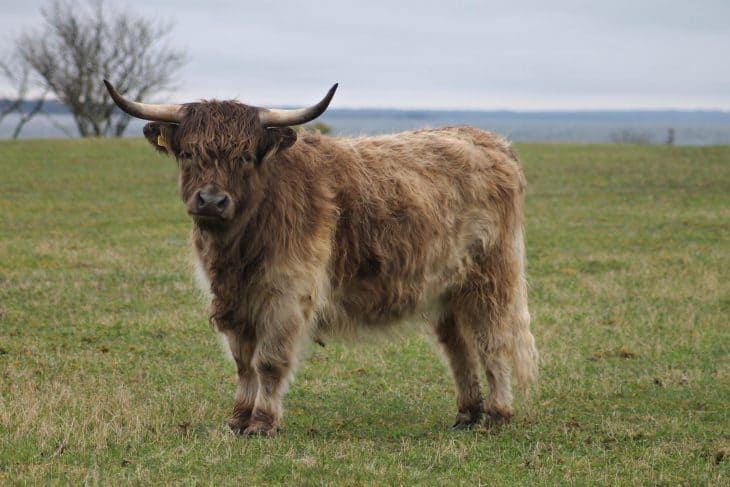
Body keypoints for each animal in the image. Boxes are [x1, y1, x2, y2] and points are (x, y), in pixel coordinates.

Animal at [104, 80, 538, 436]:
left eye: (245, 156)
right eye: (190, 152)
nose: (211, 200)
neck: (238, 245)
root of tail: (492, 142)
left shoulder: (287, 293)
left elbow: (269, 360)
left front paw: (262, 423)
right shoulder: (231, 298)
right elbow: (243, 360)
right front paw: (238, 419)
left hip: (491, 278)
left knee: (493, 340)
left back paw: (498, 415)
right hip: (445, 287)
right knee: (458, 348)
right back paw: (467, 414)